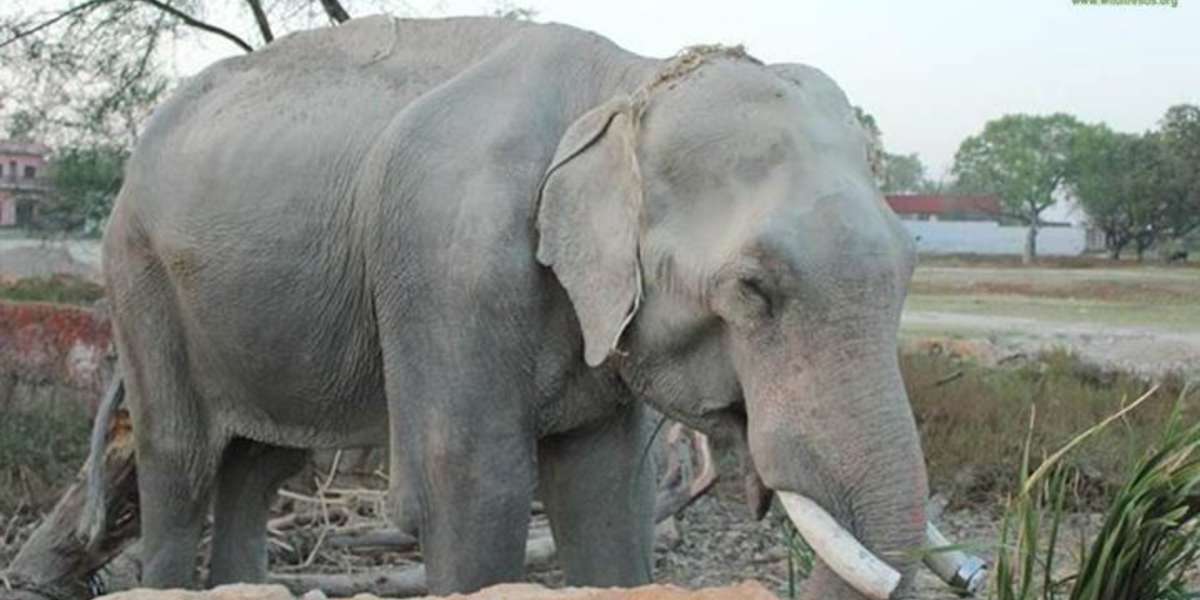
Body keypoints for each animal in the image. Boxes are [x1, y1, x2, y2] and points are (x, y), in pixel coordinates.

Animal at [81, 15, 933, 600]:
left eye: (910, 267)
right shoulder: (452, 254)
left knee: (260, 467)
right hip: (137, 271)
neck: (623, 82)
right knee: (178, 460)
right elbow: (473, 482)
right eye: (753, 290)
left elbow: (605, 490)